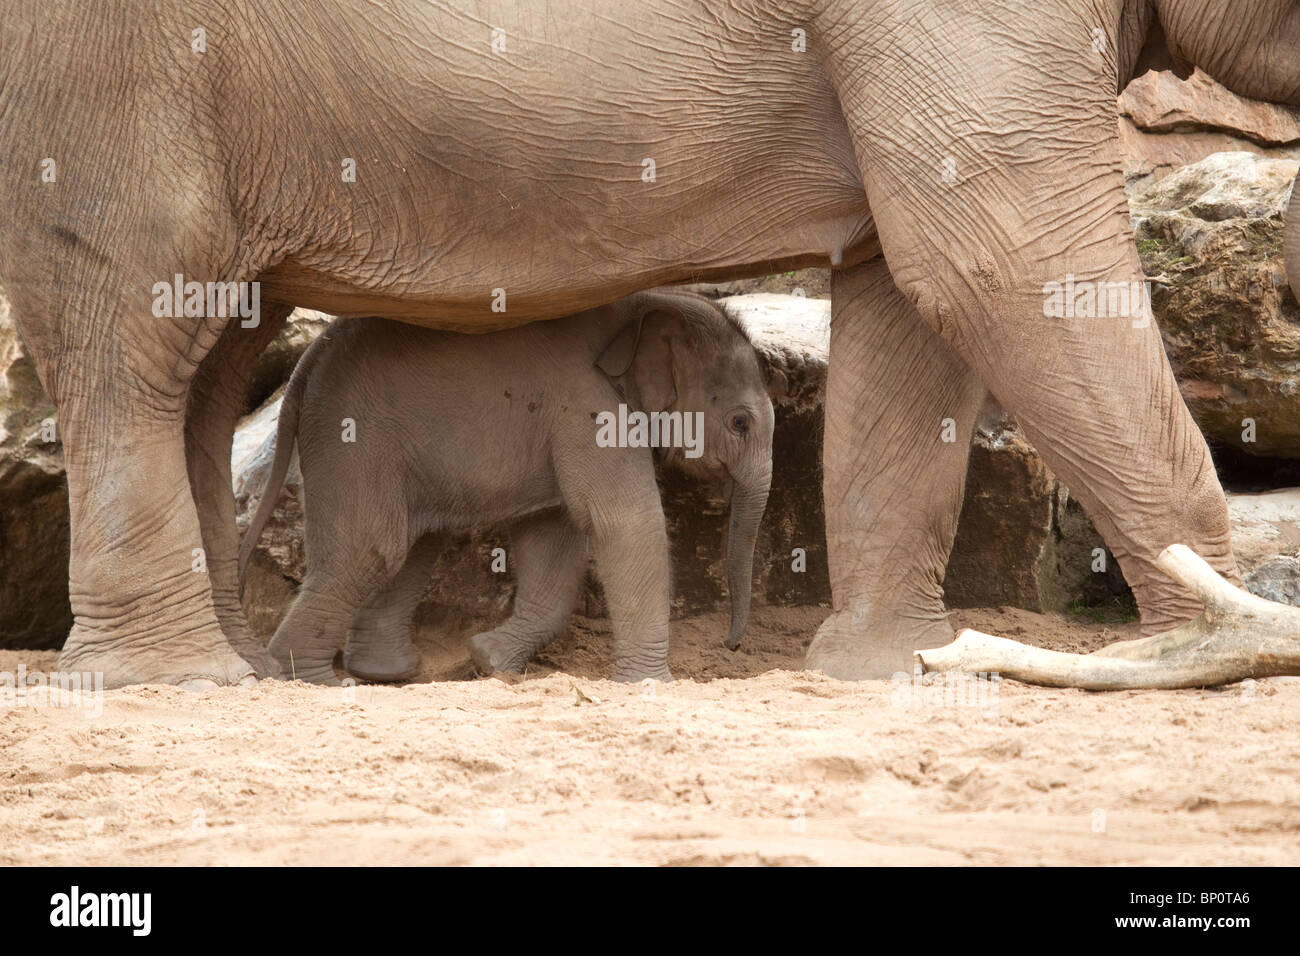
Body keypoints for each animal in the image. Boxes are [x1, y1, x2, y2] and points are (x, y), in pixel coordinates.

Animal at [237, 291, 775, 684]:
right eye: (740, 423)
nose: (731, 644)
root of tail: (305, 362)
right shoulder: (587, 403)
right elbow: (623, 521)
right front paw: (649, 685)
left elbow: (554, 534)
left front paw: (489, 660)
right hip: (353, 437)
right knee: (374, 547)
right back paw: (314, 681)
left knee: (412, 544)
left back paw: (386, 674)